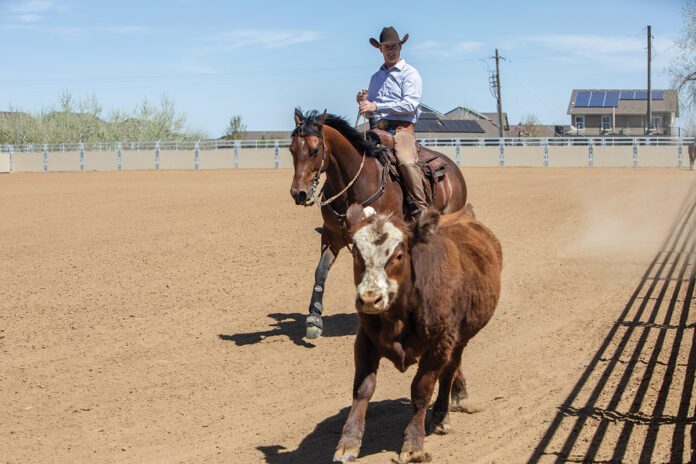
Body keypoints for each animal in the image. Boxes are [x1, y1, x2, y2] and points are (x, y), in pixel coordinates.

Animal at [289, 109, 467, 339]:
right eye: (291, 149)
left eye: (315, 150)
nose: (298, 193)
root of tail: (453, 168)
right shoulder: (332, 237)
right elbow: (321, 271)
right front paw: (314, 318)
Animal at [333, 204, 503, 463]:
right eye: (356, 255)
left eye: (398, 255)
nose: (370, 299)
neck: (400, 315)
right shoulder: (365, 340)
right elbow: (362, 389)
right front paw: (348, 443)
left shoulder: (440, 344)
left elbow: (422, 390)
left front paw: (413, 445)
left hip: (458, 339)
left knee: (449, 372)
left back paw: (442, 416)